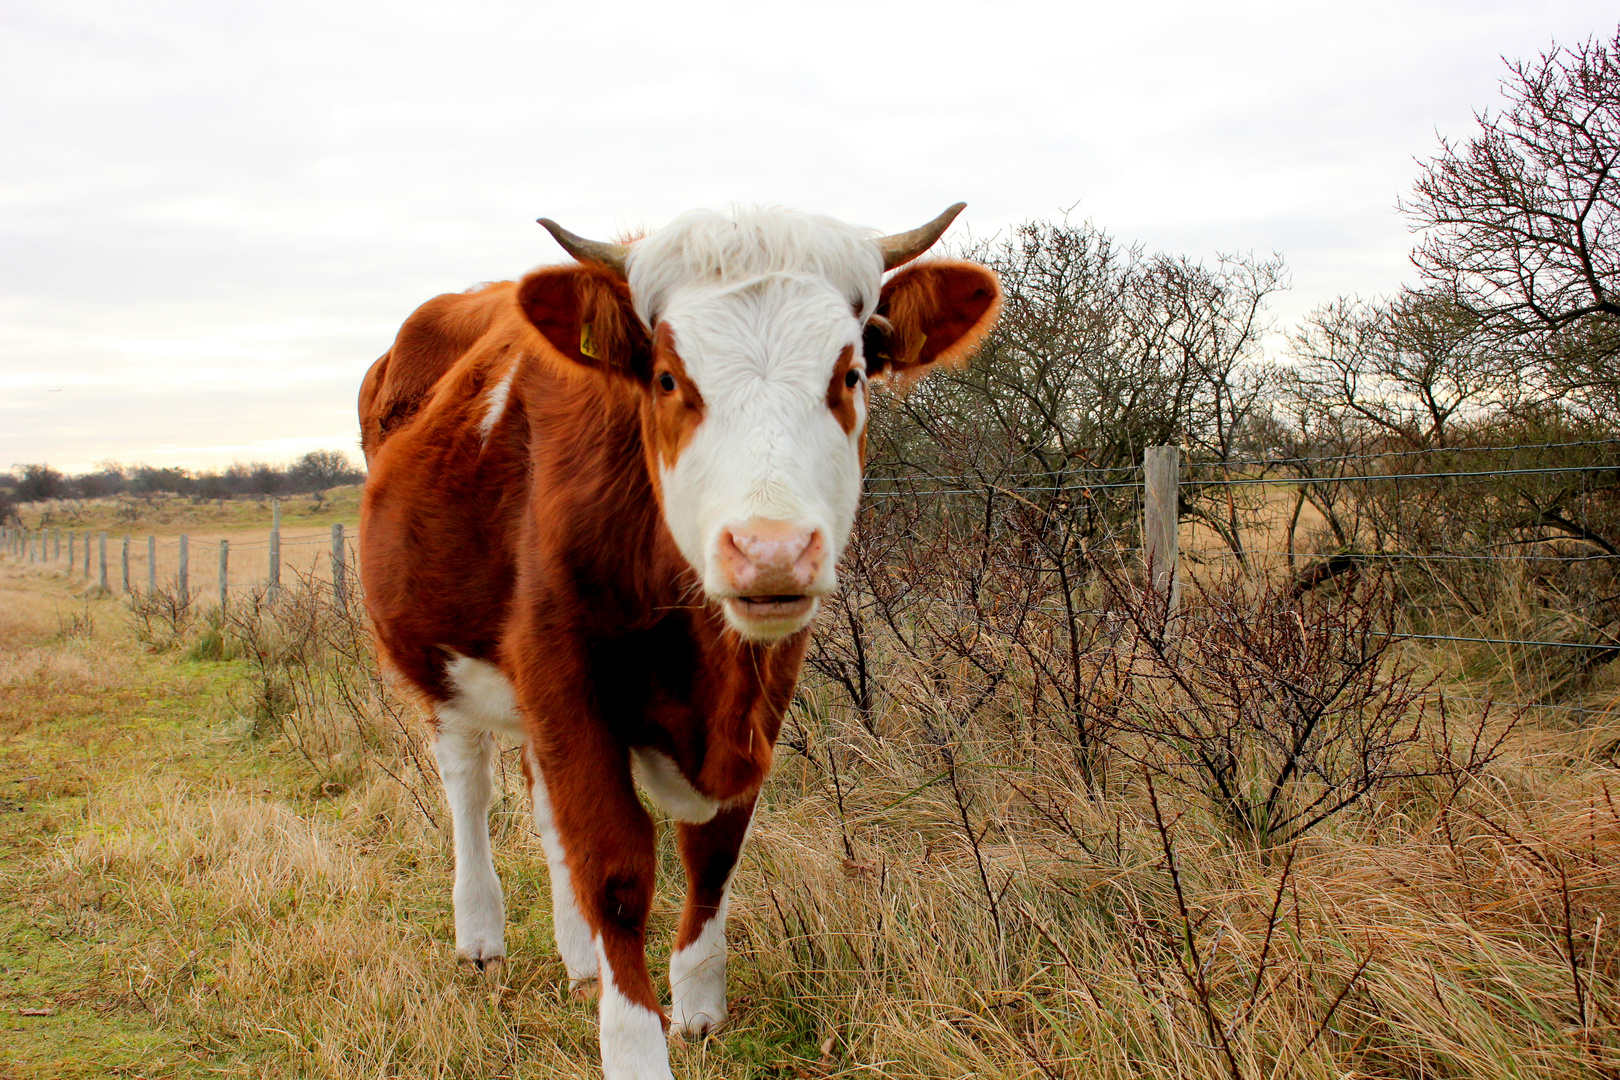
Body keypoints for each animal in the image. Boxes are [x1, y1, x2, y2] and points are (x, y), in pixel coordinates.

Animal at [357, 204, 1001, 1080]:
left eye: (851, 375)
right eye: (666, 378)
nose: (769, 550)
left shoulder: (760, 691)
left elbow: (714, 850)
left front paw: (697, 1001)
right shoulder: (566, 676)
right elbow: (618, 870)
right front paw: (634, 1046)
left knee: (543, 803)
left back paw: (579, 958)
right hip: (442, 660)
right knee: (468, 780)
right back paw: (482, 934)